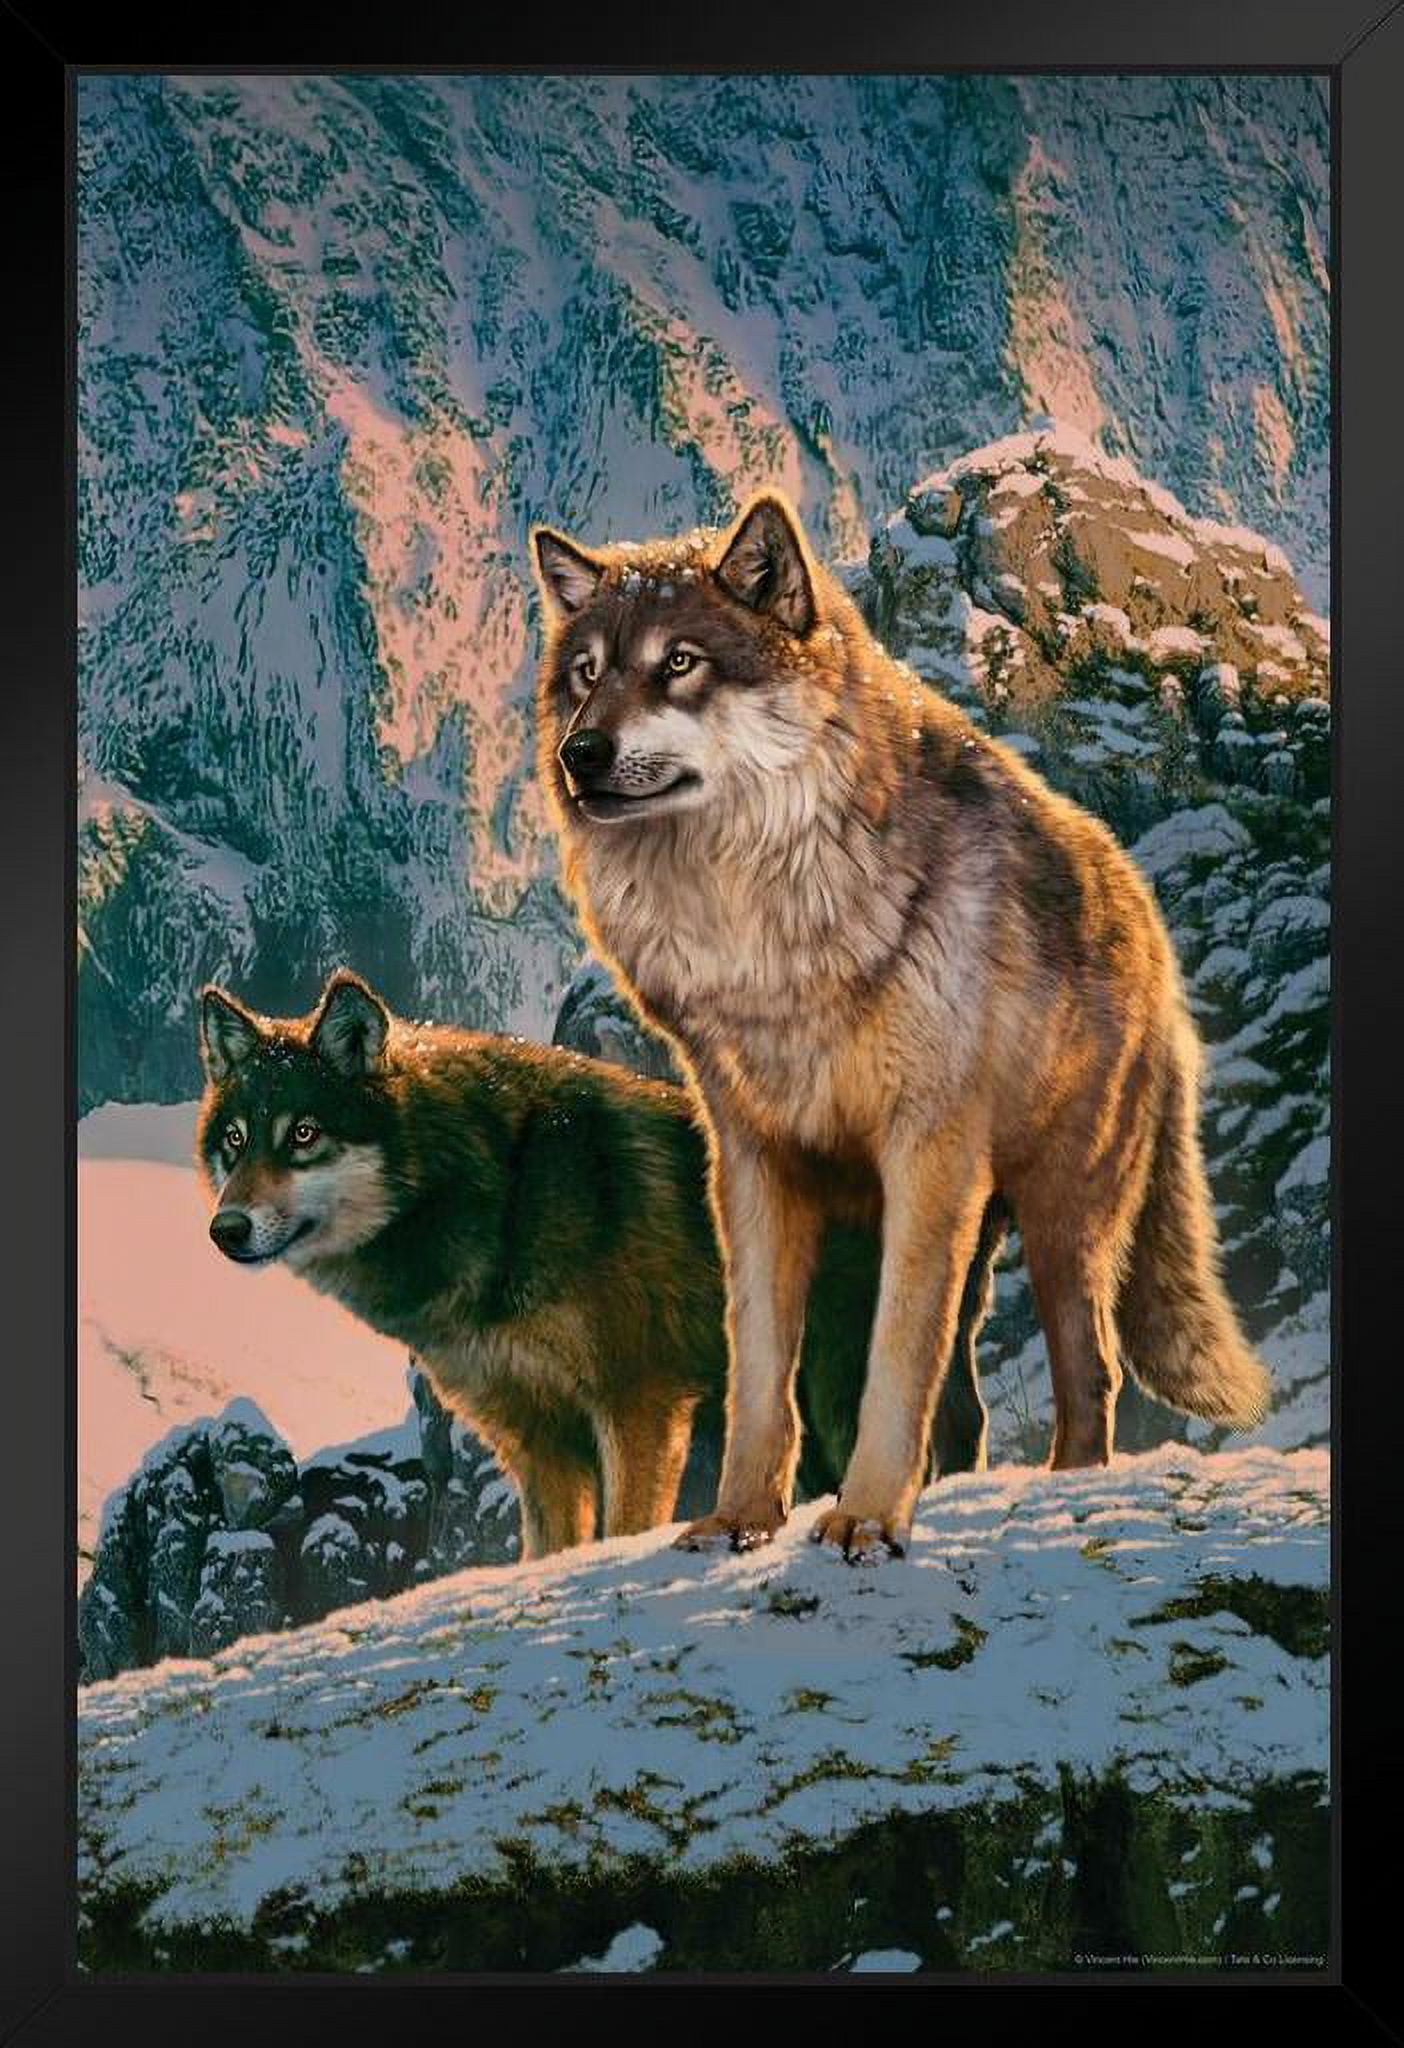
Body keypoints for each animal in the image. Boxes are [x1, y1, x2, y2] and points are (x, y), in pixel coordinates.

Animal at [195, 970, 991, 1560]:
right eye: (234, 1141)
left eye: (303, 1134)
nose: (225, 1230)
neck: (504, 1191)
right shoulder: (537, 1439)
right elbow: (549, 1551)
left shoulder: (638, 1401)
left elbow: (624, 1528)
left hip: (835, 1375)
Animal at [532, 490, 1272, 1561]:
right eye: (588, 673)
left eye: (681, 663)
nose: (578, 754)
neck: (763, 928)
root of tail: (1149, 923)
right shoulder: (753, 1162)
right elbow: (760, 1372)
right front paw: (741, 1518)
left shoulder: (927, 1154)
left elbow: (893, 1360)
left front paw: (871, 1518)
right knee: (970, 1404)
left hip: (1060, 1219)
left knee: (1090, 1373)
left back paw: (1064, 1491)